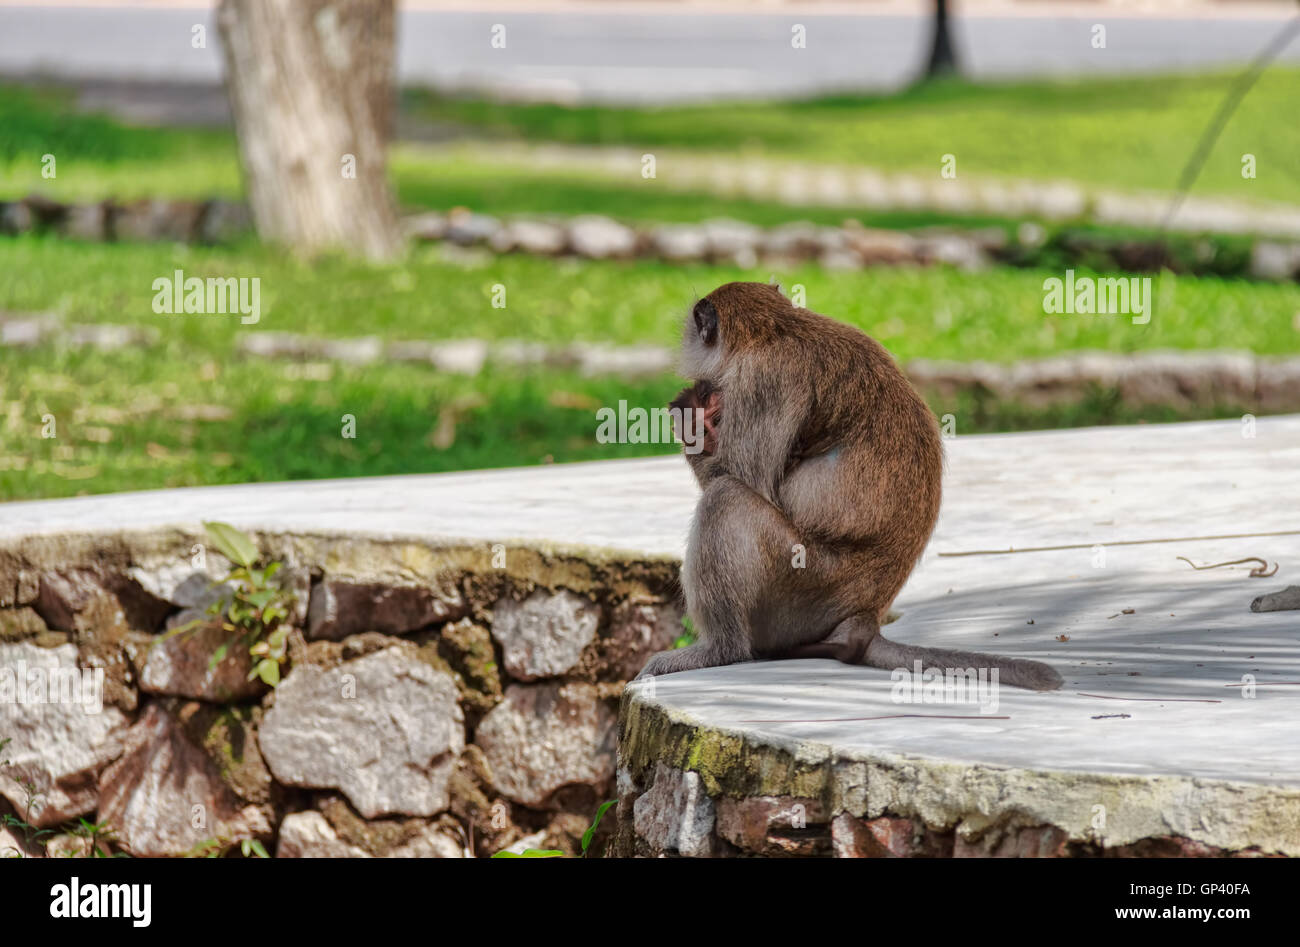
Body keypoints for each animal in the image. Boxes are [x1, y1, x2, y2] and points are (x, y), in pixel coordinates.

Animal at [640, 282, 1063, 691]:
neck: (777, 328)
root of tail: (865, 617)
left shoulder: (761, 383)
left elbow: (741, 477)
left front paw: (688, 416)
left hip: (803, 586)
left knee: (725, 500)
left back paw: (720, 650)